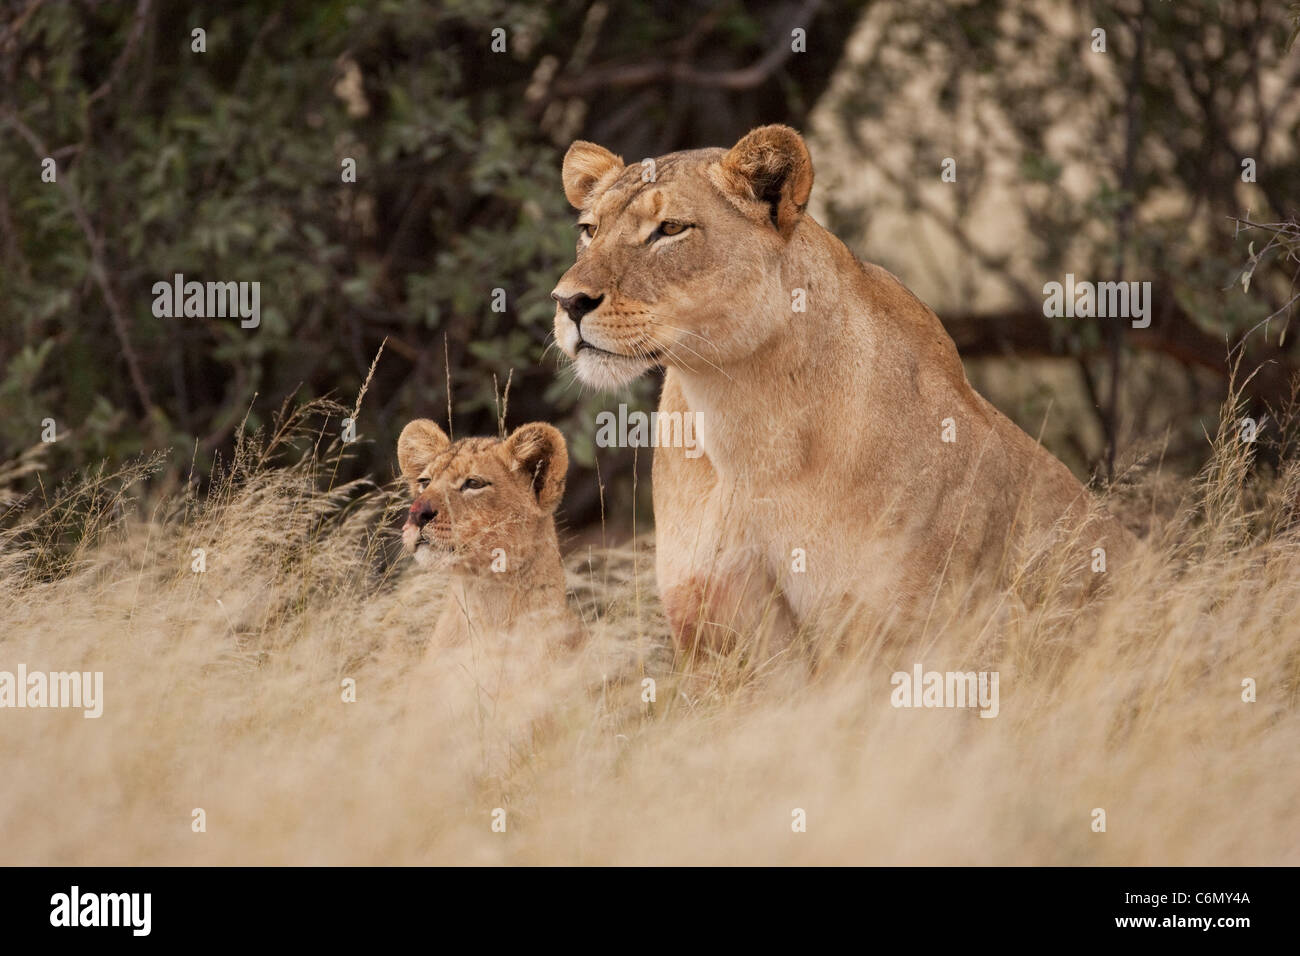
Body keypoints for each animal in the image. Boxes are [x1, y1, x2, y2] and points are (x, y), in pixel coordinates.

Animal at [550, 124, 1134, 653]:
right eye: (589, 229)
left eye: (670, 228)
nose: (568, 301)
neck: (737, 419)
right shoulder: (716, 632)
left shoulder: (885, 634)